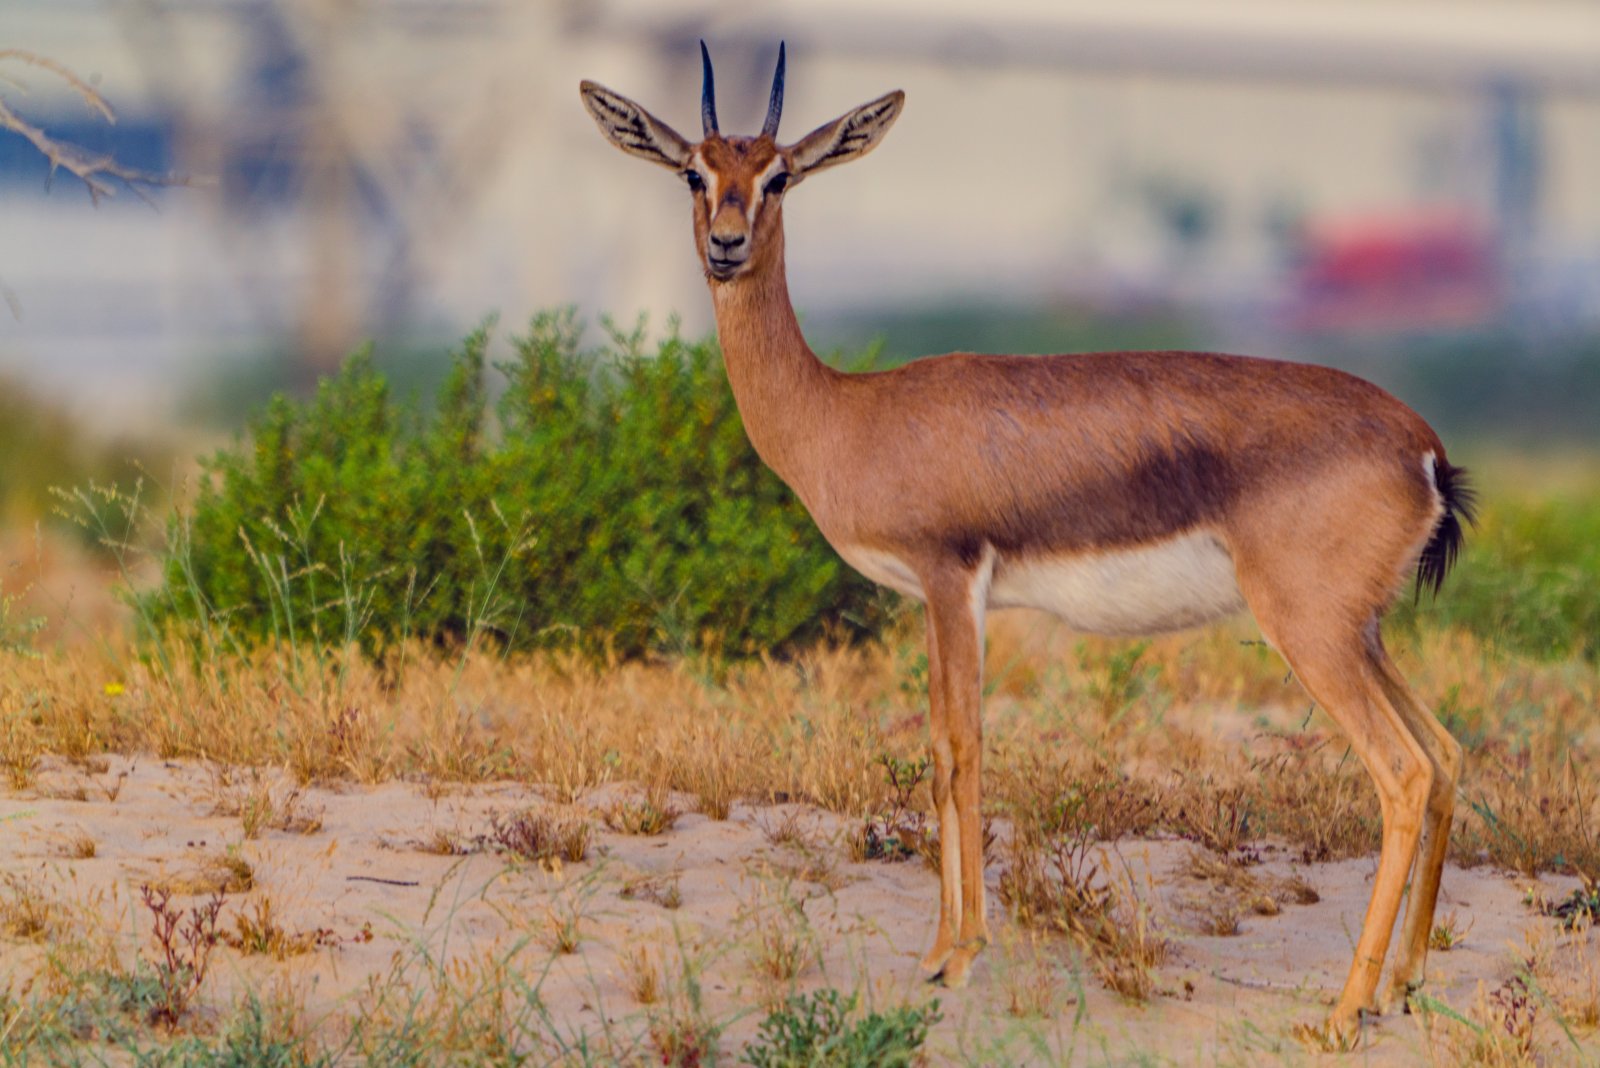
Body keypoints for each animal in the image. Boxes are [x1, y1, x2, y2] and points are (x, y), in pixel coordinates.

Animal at [579, 43, 1475, 1043]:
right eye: (695, 172)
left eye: (779, 175)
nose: (726, 245)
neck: (847, 416)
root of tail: (1425, 450)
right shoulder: (935, 600)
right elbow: (942, 751)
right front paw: (939, 954)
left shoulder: (950, 581)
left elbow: (961, 751)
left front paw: (960, 956)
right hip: (1362, 634)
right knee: (1446, 756)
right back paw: (1399, 987)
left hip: (1312, 633)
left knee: (1402, 773)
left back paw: (1343, 1011)